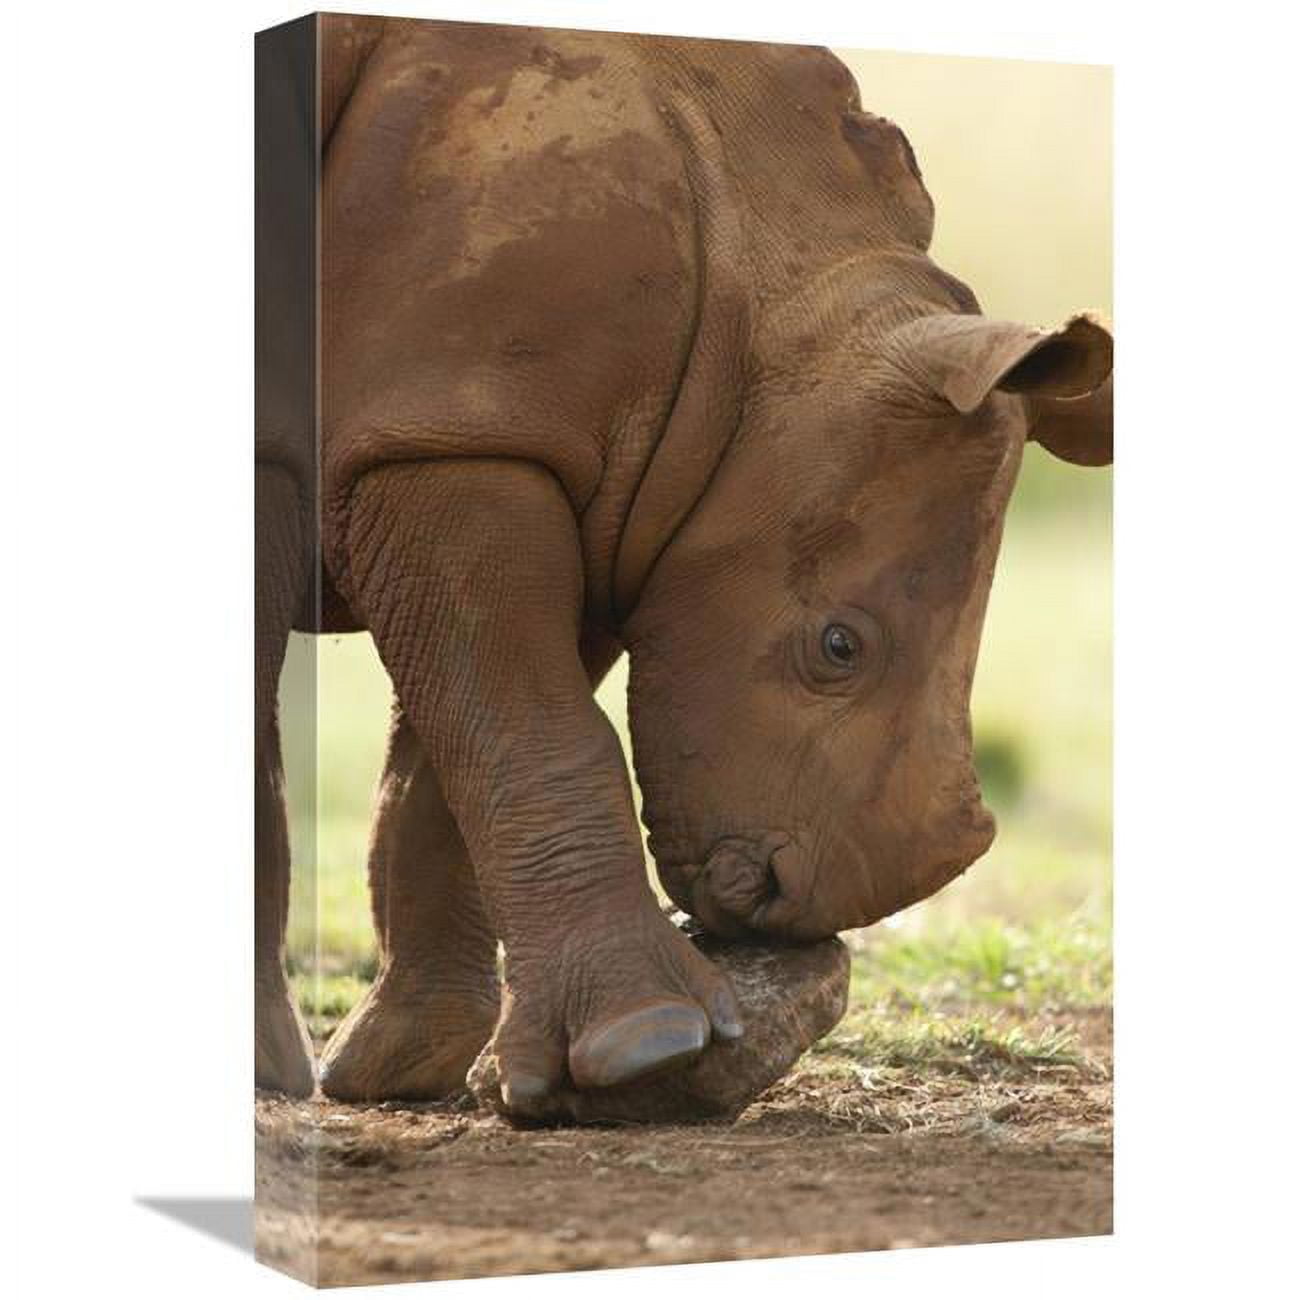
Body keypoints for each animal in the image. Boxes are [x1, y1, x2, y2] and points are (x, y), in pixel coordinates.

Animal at [254, 15, 1112, 1116]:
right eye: (837, 646)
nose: (798, 896)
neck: (759, 298)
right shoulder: (451, 430)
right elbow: (523, 719)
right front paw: (646, 1047)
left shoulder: (581, 470)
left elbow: (470, 737)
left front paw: (400, 1072)